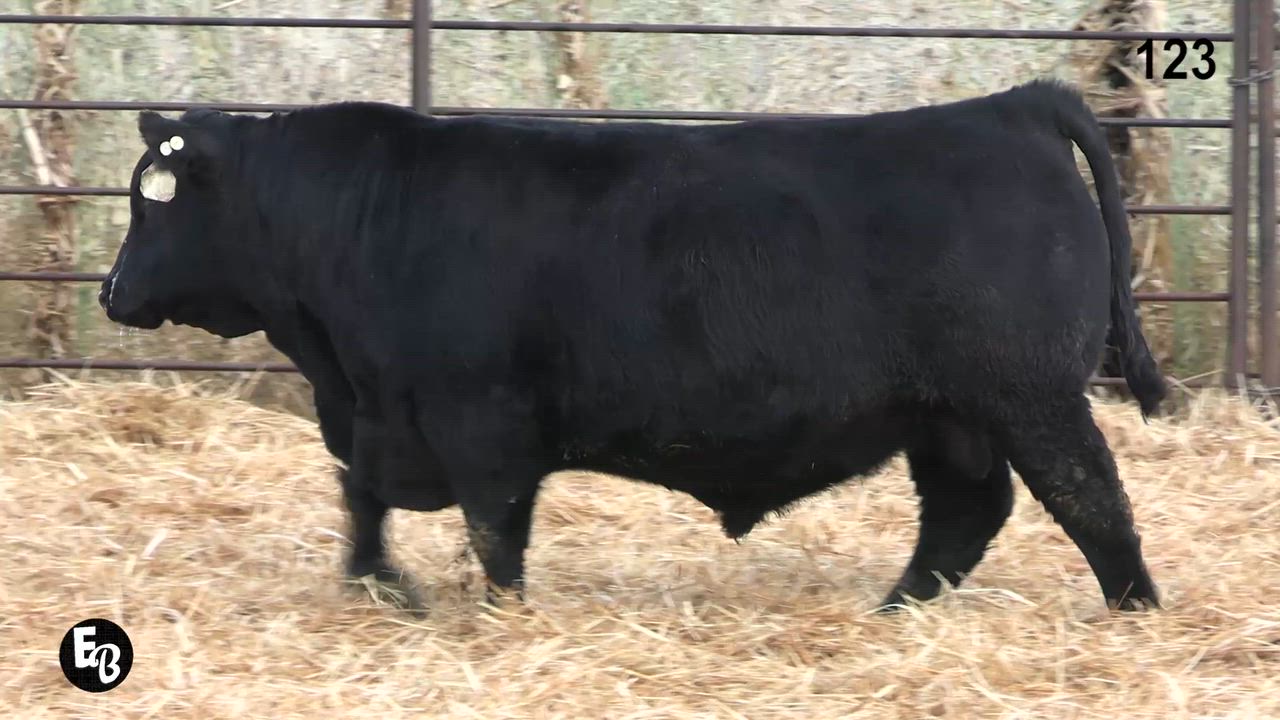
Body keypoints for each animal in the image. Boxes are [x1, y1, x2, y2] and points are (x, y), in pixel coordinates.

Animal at [99, 78, 1166, 615]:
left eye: (154, 200)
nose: (110, 293)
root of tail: (1008, 106)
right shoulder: (378, 411)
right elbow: (363, 498)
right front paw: (381, 586)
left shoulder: (480, 420)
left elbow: (495, 529)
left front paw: (498, 616)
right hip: (947, 415)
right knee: (964, 513)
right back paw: (899, 609)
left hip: (1029, 397)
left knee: (1090, 497)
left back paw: (1134, 611)